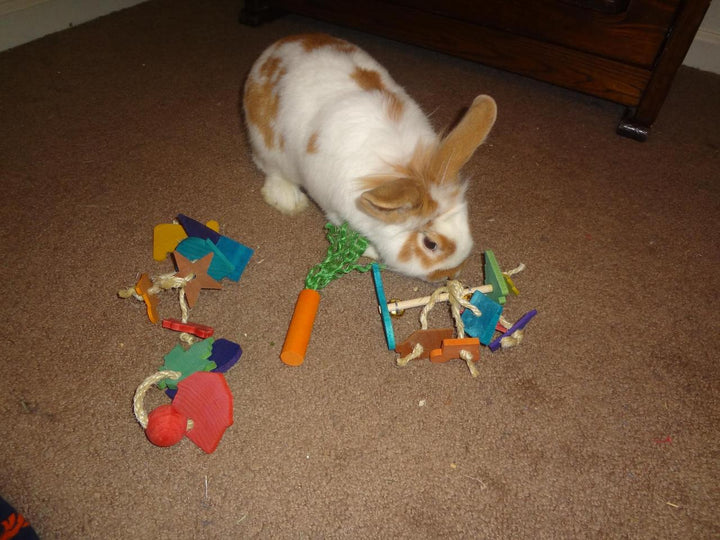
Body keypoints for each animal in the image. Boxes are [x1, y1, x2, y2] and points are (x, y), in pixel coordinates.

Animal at [243, 33, 496, 281]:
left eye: (466, 219)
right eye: (430, 244)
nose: (453, 273)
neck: (405, 170)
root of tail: (274, 49)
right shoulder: (336, 209)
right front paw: (372, 251)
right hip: (268, 148)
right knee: (272, 171)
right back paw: (289, 200)